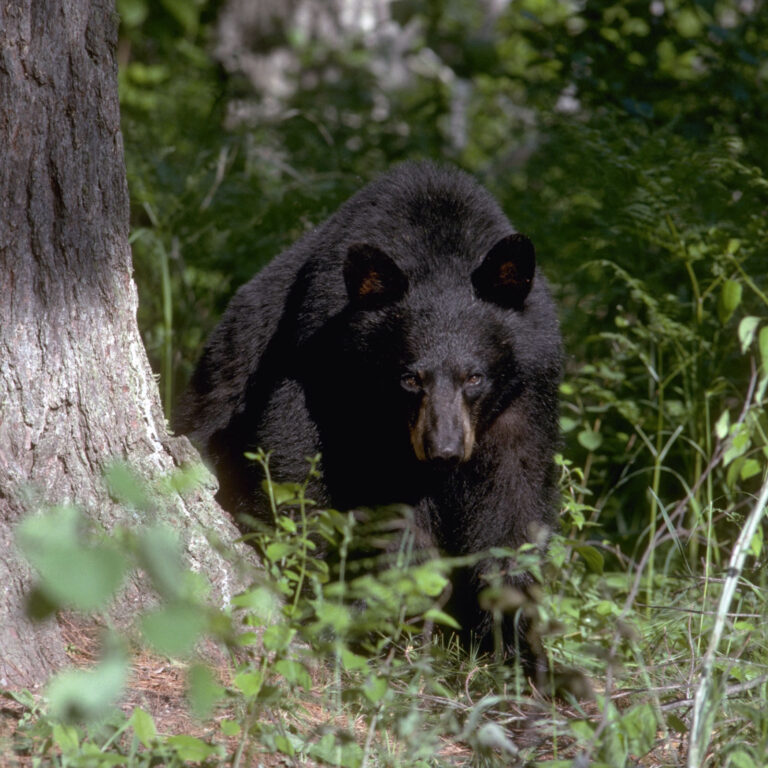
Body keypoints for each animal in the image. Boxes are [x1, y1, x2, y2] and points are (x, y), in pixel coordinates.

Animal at [175, 161, 562, 673]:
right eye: (410, 378)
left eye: (474, 376)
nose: (443, 451)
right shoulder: (321, 377)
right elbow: (310, 480)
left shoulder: (524, 399)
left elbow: (514, 508)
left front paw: (520, 648)